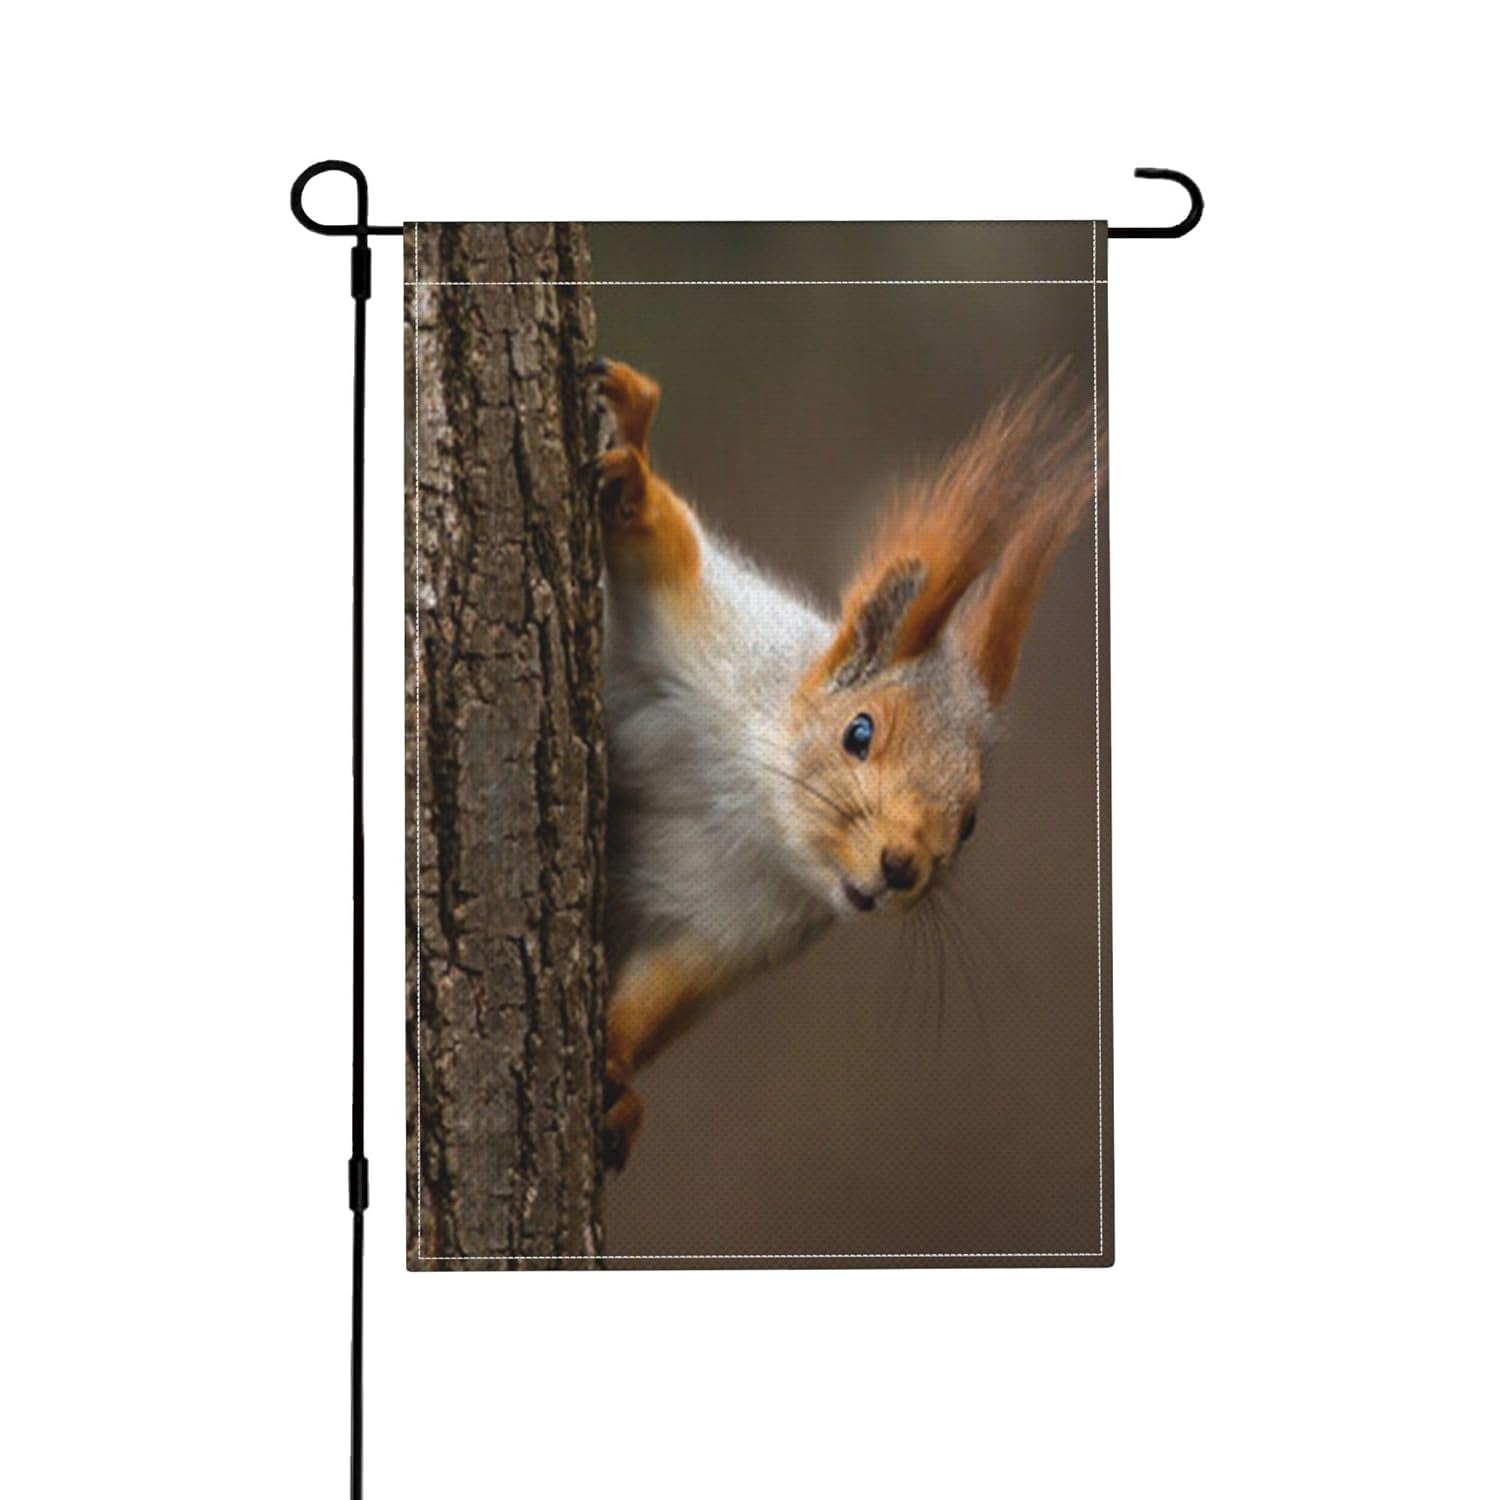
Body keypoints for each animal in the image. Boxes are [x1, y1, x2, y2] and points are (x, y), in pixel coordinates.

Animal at [588, 357, 1096, 1168]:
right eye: (859, 733)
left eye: (973, 823)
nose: (902, 866)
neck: (760, 820)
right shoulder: (708, 633)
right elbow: (663, 548)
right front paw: (633, 460)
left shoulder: (735, 934)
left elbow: (659, 996)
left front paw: (617, 1067)